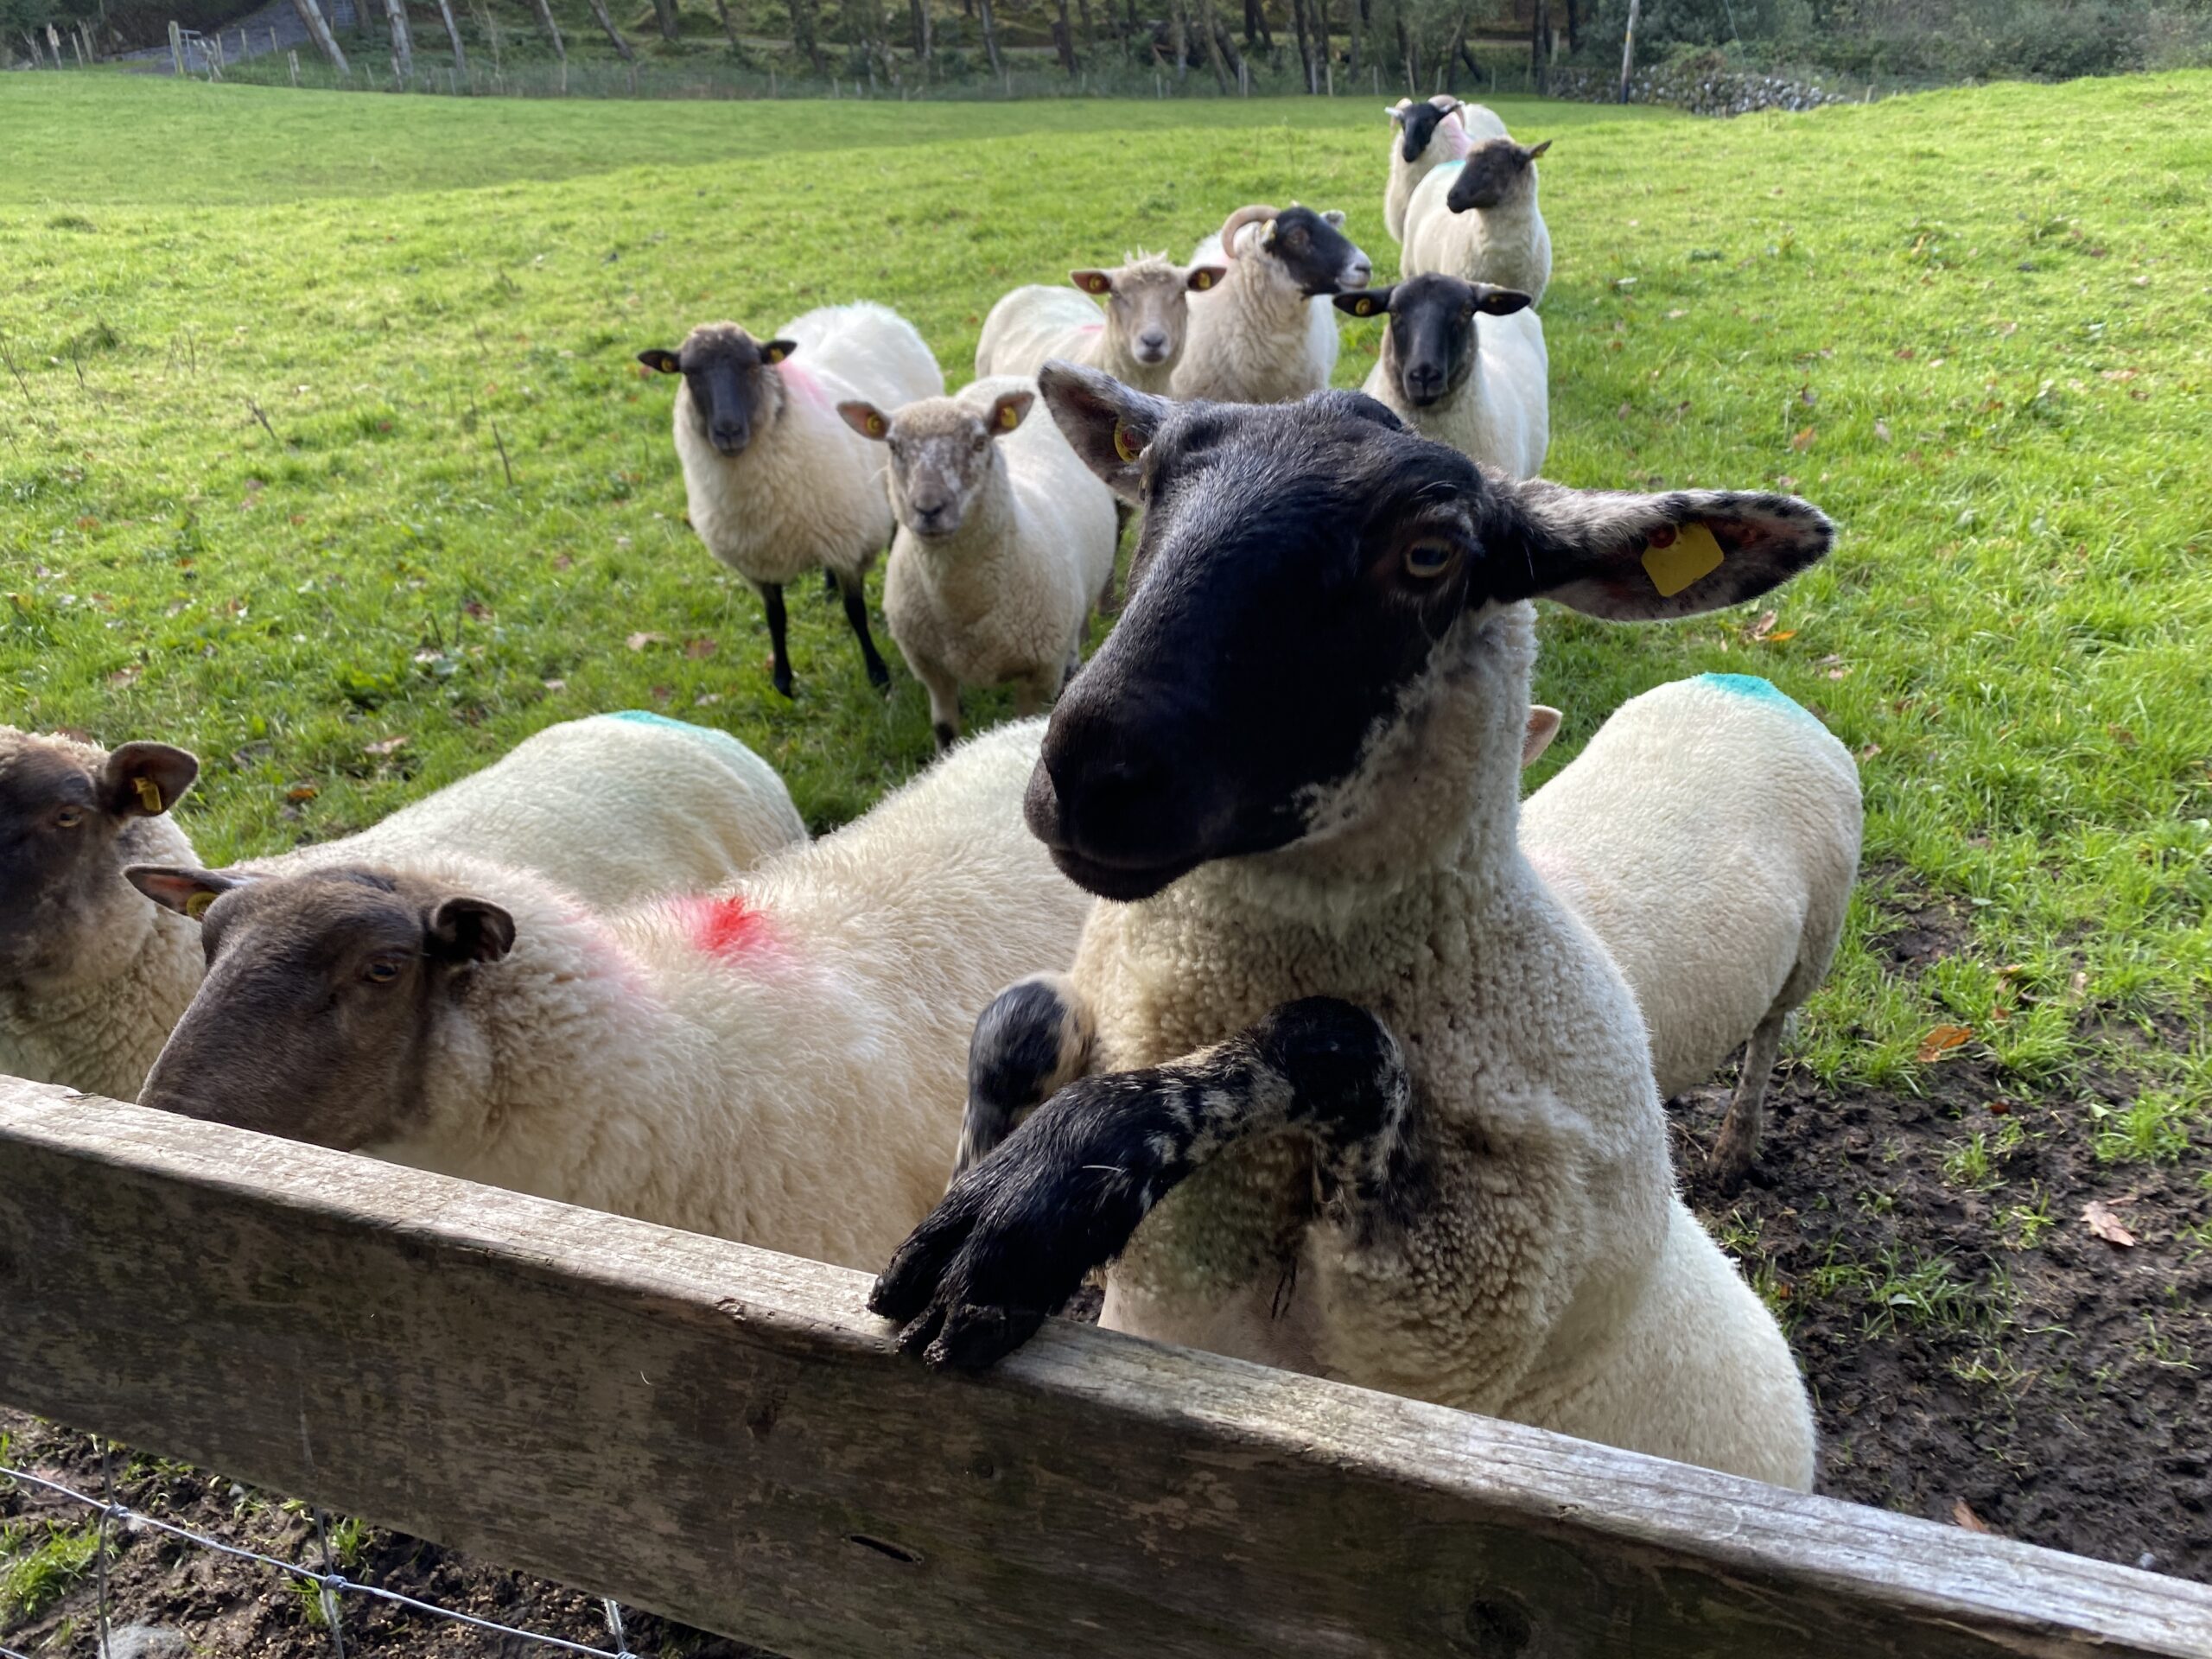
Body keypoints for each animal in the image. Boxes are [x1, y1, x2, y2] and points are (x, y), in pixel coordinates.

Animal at [638, 302, 944, 699]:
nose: (728, 431)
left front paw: (878, 673)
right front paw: (782, 680)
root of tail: (865, 308)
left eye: (754, 366)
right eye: (688, 373)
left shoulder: (849, 543)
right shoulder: (758, 560)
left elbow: (856, 613)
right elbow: (776, 617)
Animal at [839, 376, 1119, 753]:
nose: (929, 508)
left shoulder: (1039, 672)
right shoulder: (931, 669)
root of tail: (1012, 379)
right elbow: (945, 730)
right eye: (894, 446)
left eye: (979, 442)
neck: (963, 608)